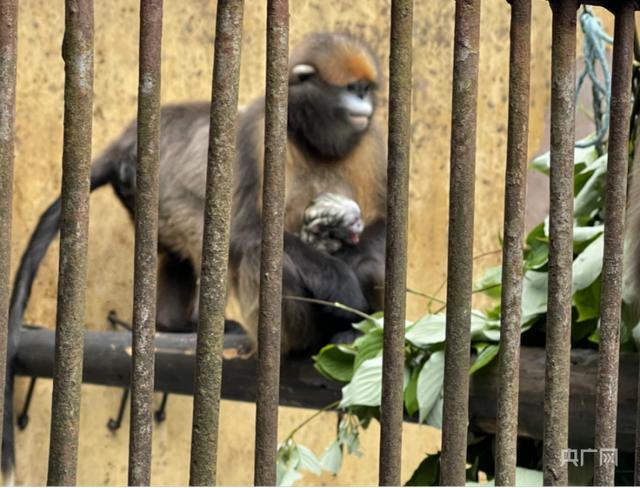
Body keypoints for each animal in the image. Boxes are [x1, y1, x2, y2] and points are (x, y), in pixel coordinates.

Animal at [2, 32, 386, 479]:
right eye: (352, 90)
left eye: (365, 91)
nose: (365, 106)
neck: (311, 141)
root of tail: (122, 146)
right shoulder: (256, 131)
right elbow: (248, 232)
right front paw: (341, 283)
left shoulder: (371, 141)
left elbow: (385, 227)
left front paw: (351, 259)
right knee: (248, 254)